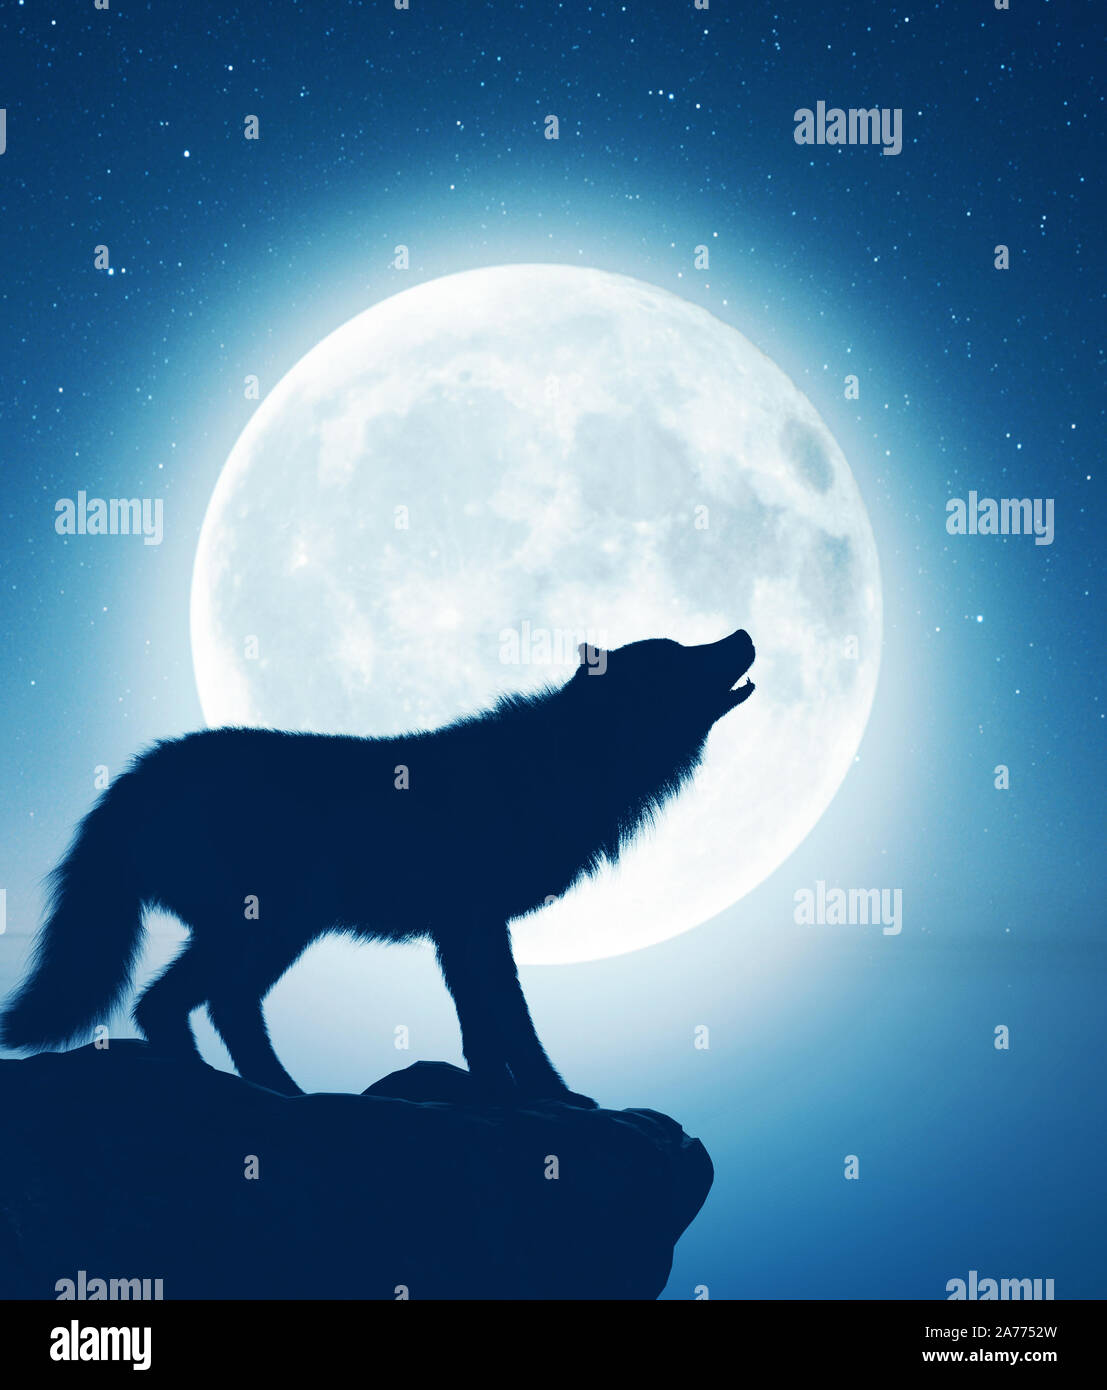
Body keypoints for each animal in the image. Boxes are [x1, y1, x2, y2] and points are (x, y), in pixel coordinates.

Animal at [0, 629, 756, 1100]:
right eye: (677, 656)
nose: (745, 633)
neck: (562, 763)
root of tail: (134, 776)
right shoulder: (475, 922)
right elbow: (512, 1021)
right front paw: (552, 1098)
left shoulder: (463, 929)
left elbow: (483, 1028)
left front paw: (502, 1096)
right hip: (275, 922)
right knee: (169, 1002)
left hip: (276, 931)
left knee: (219, 1004)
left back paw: (281, 1091)